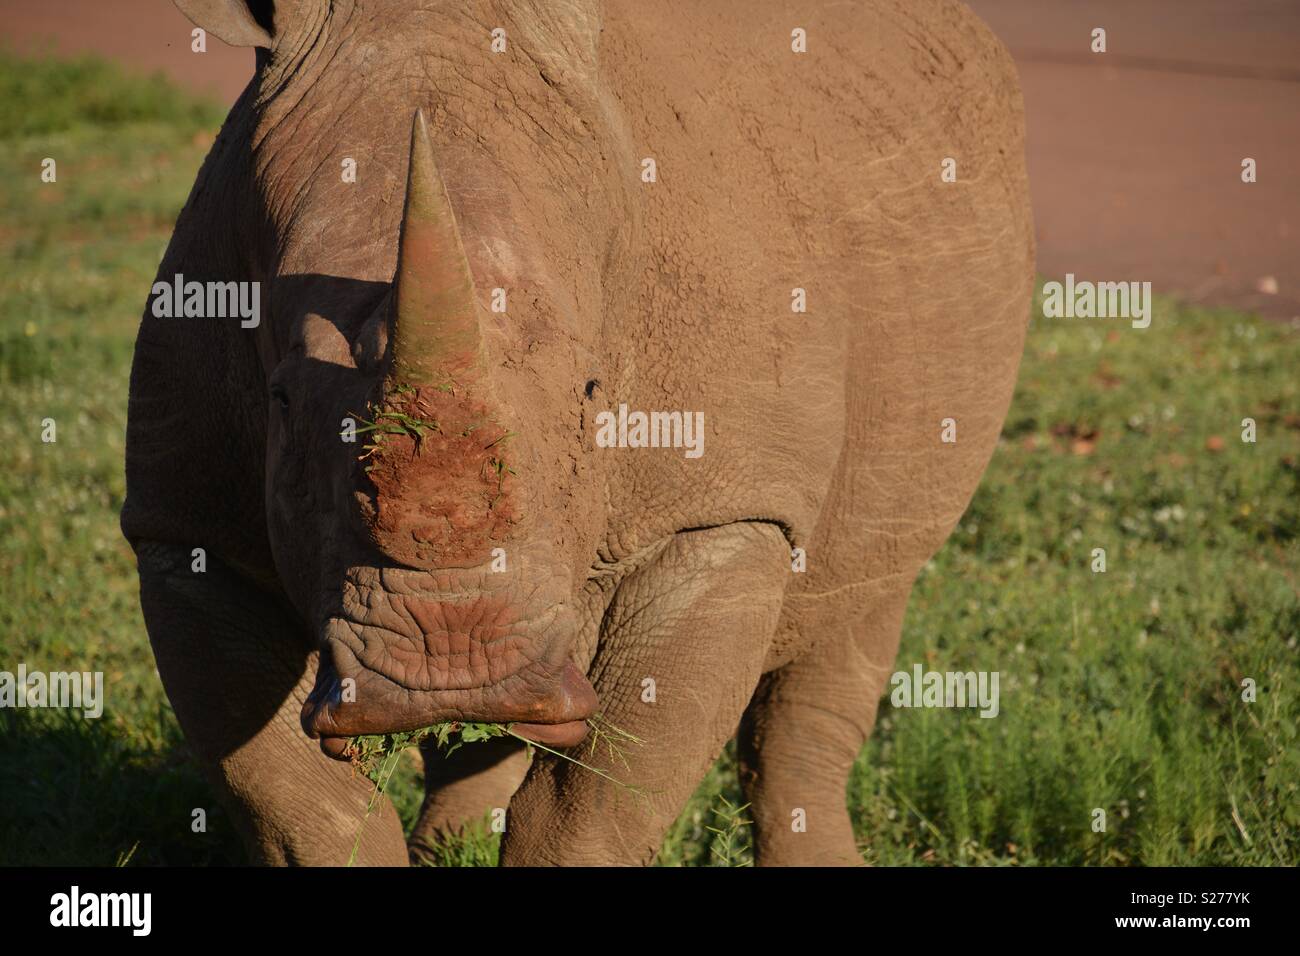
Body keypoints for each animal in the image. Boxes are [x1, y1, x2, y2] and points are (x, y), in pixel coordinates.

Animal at [122, 0, 1033, 865]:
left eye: (593, 397)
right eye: (278, 400)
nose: (449, 667)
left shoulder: (724, 509)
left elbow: (591, 810)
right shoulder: (184, 523)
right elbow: (302, 807)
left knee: (860, 605)